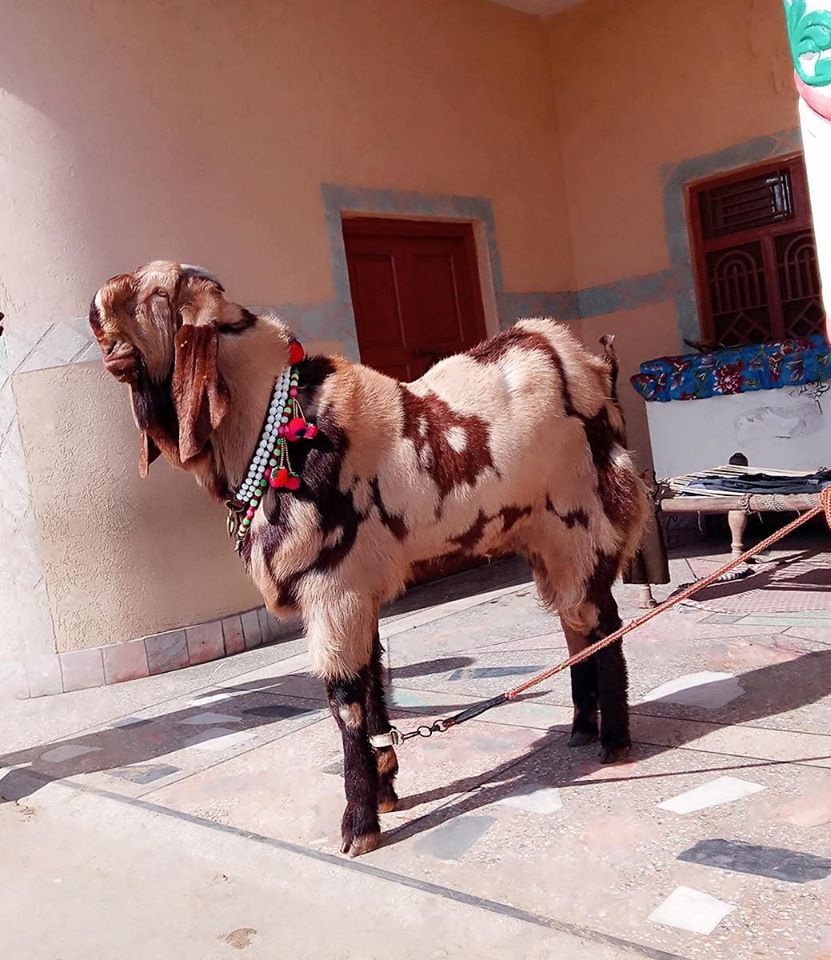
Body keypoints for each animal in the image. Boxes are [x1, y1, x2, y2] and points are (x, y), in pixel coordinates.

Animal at [90, 260, 650, 855]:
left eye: (153, 295)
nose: (92, 310)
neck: (276, 426)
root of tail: (594, 368)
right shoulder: (359, 592)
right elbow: (374, 682)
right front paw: (385, 790)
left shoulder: (334, 590)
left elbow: (346, 703)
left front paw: (359, 824)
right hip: (545, 540)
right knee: (576, 627)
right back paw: (581, 728)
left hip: (580, 528)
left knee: (603, 622)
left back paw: (614, 740)